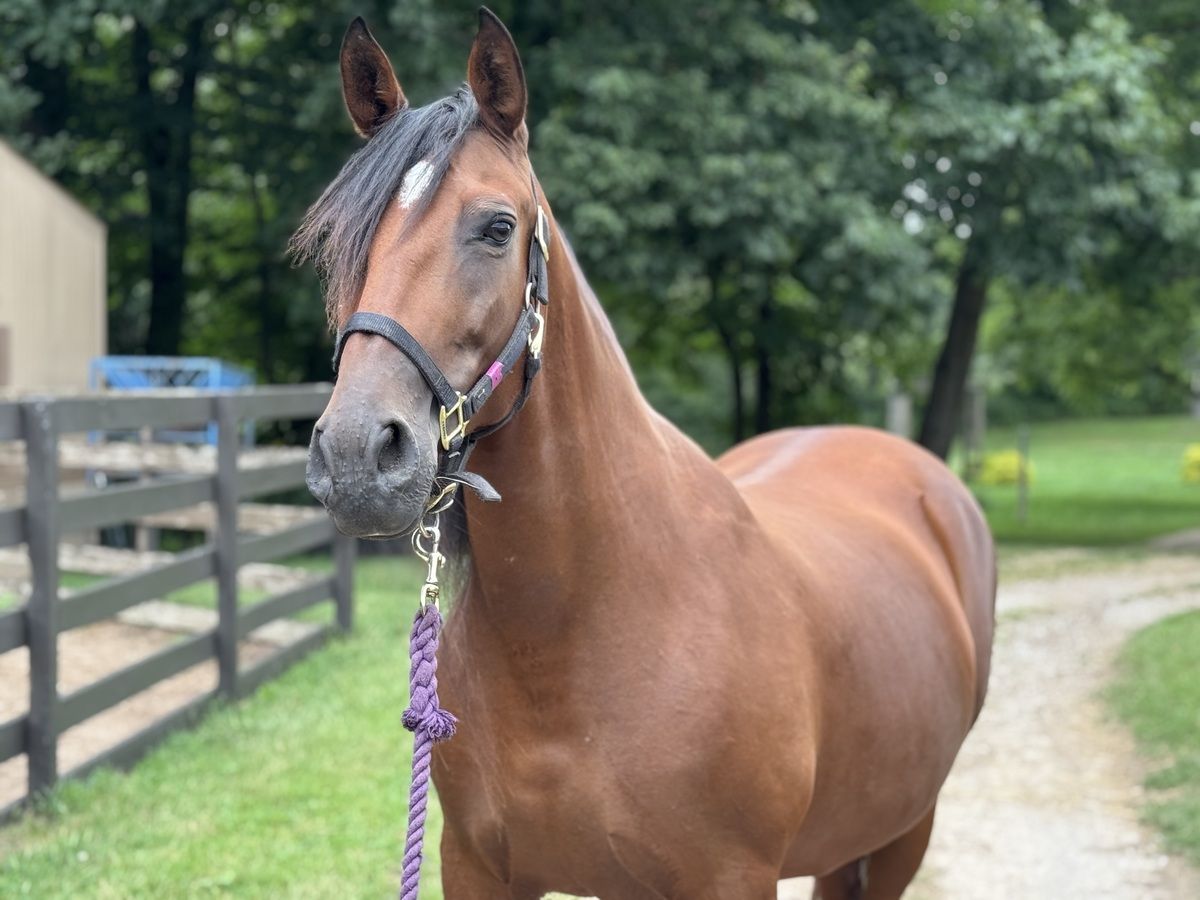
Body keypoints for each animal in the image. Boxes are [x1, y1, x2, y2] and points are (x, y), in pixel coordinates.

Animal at [296, 10, 995, 899]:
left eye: (497, 228)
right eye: (336, 243)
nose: (358, 455)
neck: (581, 624)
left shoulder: (731, 877)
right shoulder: (479, 866)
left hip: (904, 829)